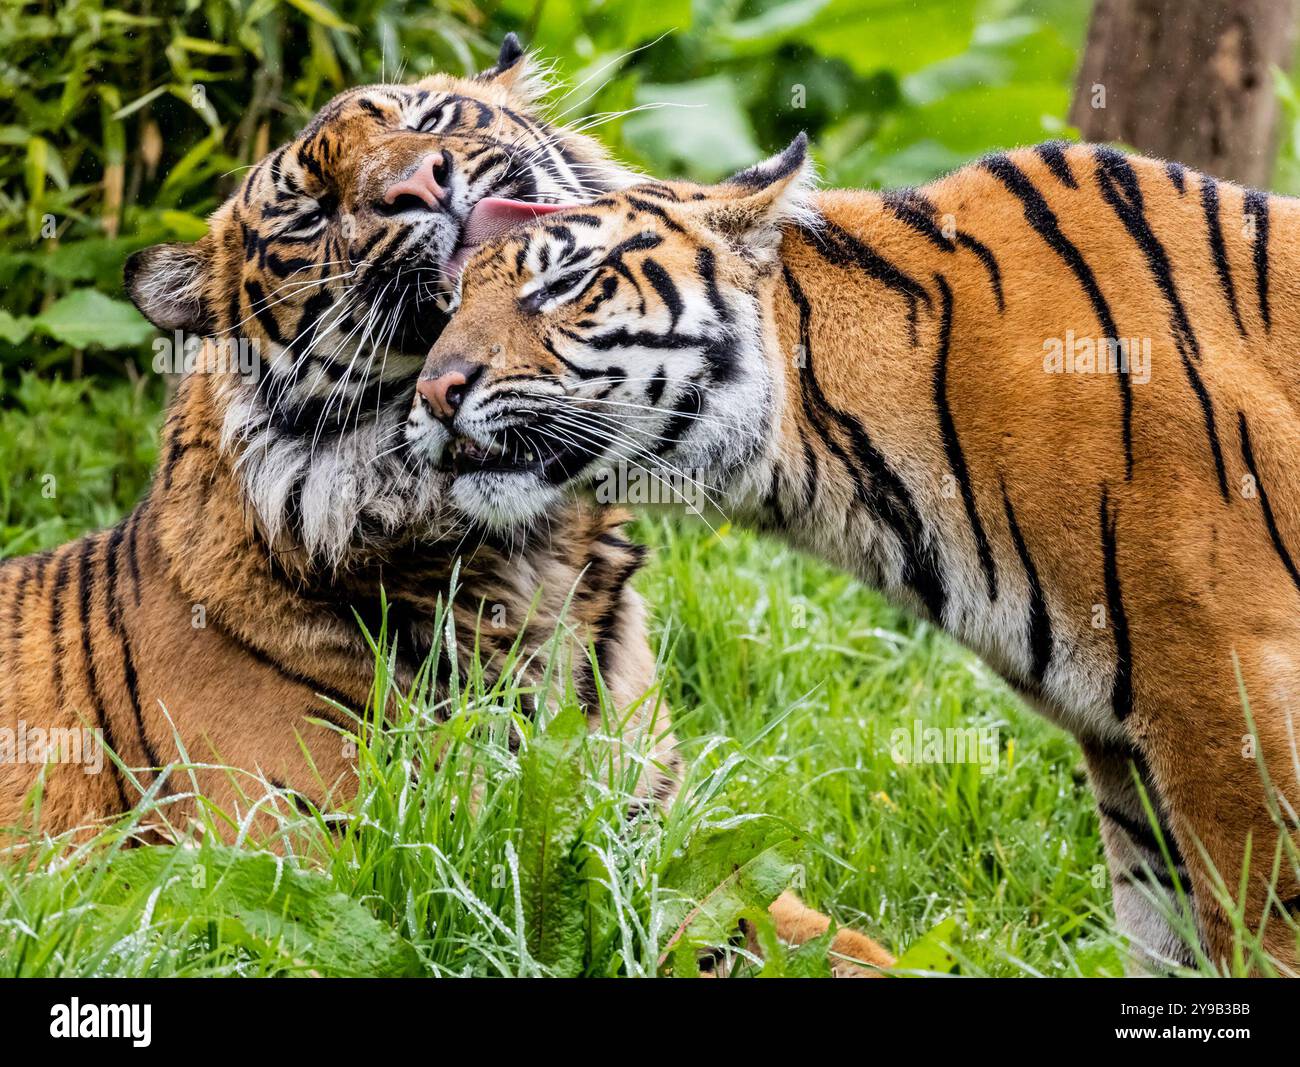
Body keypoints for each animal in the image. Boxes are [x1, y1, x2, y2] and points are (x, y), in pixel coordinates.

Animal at [0, 40, 892, 976]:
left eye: (430, 120)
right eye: (310, 212)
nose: (419, 185)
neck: (529, 550)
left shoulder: (663, 824)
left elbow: (810, 924)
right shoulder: (314, 869)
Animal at [405, 133, 1300, 972]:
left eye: (563, 284)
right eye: (452, 298)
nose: (433, 391)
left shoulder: (1225, 698)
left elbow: (1258, 926)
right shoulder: (1127, 756)